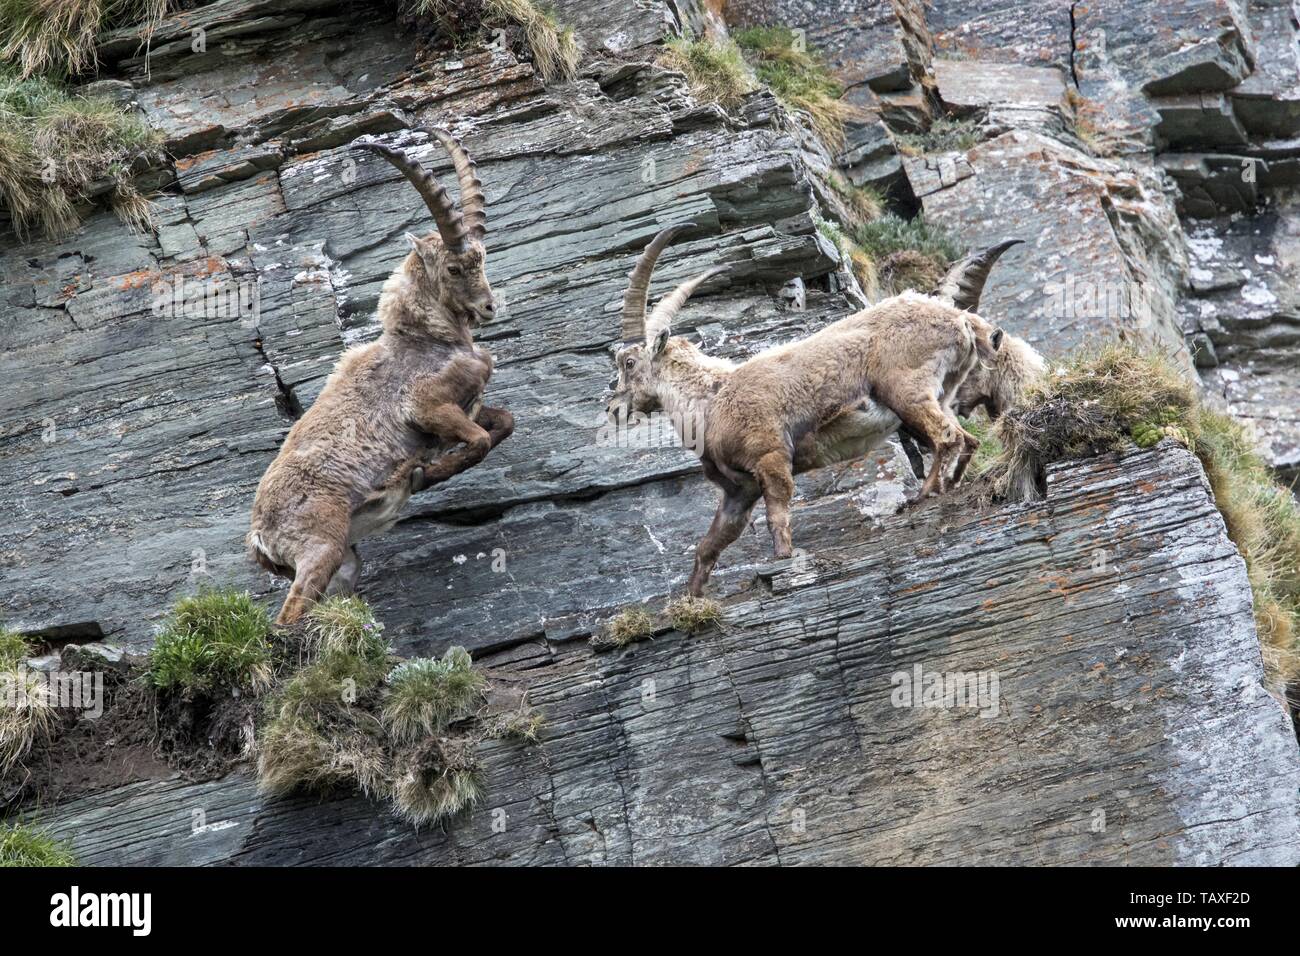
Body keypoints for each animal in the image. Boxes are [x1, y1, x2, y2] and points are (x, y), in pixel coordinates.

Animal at [248, 128, 513, 625]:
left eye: (483, 258)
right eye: (453, 267)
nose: (489, 307)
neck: (425, 337)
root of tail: (259, 536)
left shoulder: (468, 404)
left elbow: (503, 422)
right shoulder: (427, 407)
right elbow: (480, 441)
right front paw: (424, 475)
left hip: (344, 562)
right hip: (320, 546)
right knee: (287, 617)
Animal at [606, 226, 1017, 595]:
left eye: (628, 362)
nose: (612, 407)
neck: (712, 399)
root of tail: (961, 320)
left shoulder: (770, 457)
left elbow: (777, 515)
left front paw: (782, 561)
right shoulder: (739, 491)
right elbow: (708, 547)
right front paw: (689, 601)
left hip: (906, 391)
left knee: (946, 436)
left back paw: (924, 495)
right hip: (940, 394)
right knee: (965, 439)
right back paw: (949, 484)